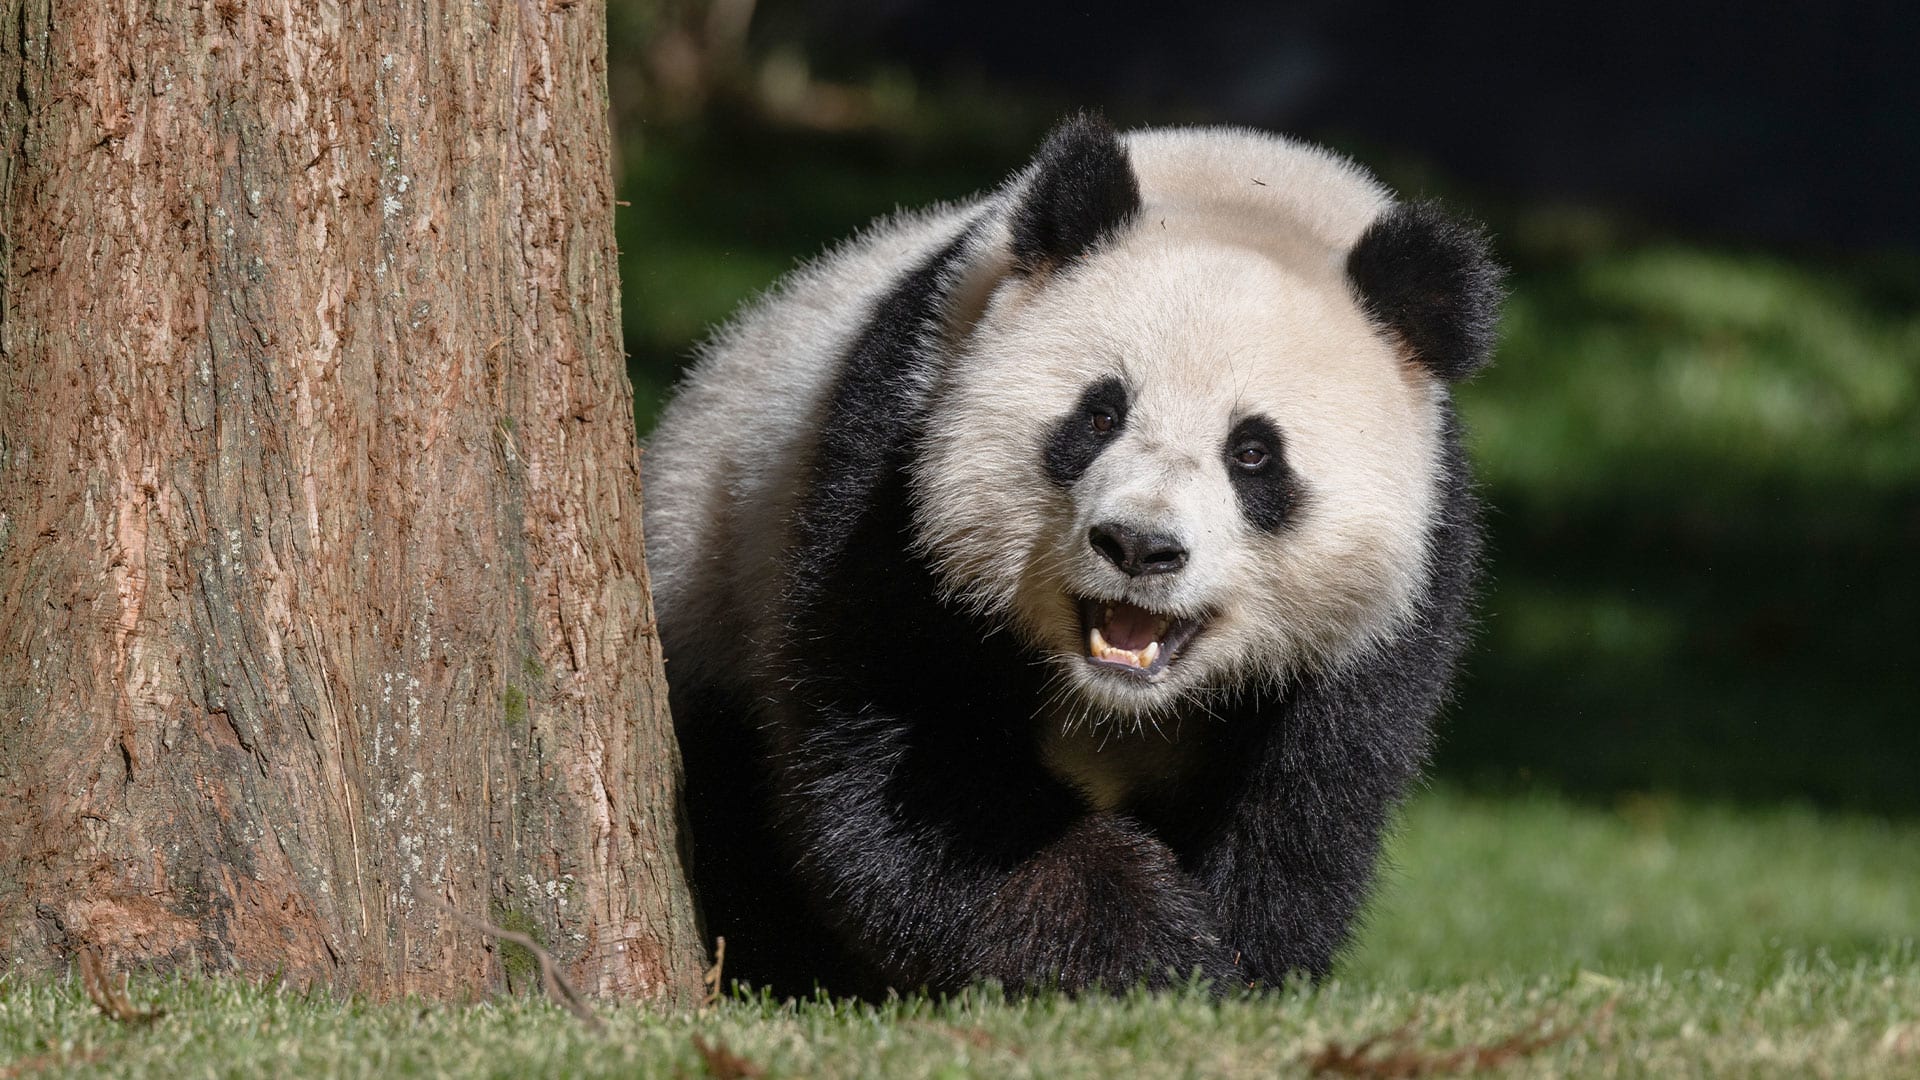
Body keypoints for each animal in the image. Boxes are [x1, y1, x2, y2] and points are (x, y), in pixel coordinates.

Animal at [643, 114, 1502, 998]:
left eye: (1254, 453)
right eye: (1099, 416)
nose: (1139, 546)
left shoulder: (1410, 577)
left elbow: (1305, 809)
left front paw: (1234, 960)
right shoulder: (896, 453)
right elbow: (910, 765)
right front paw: (1145, 946)